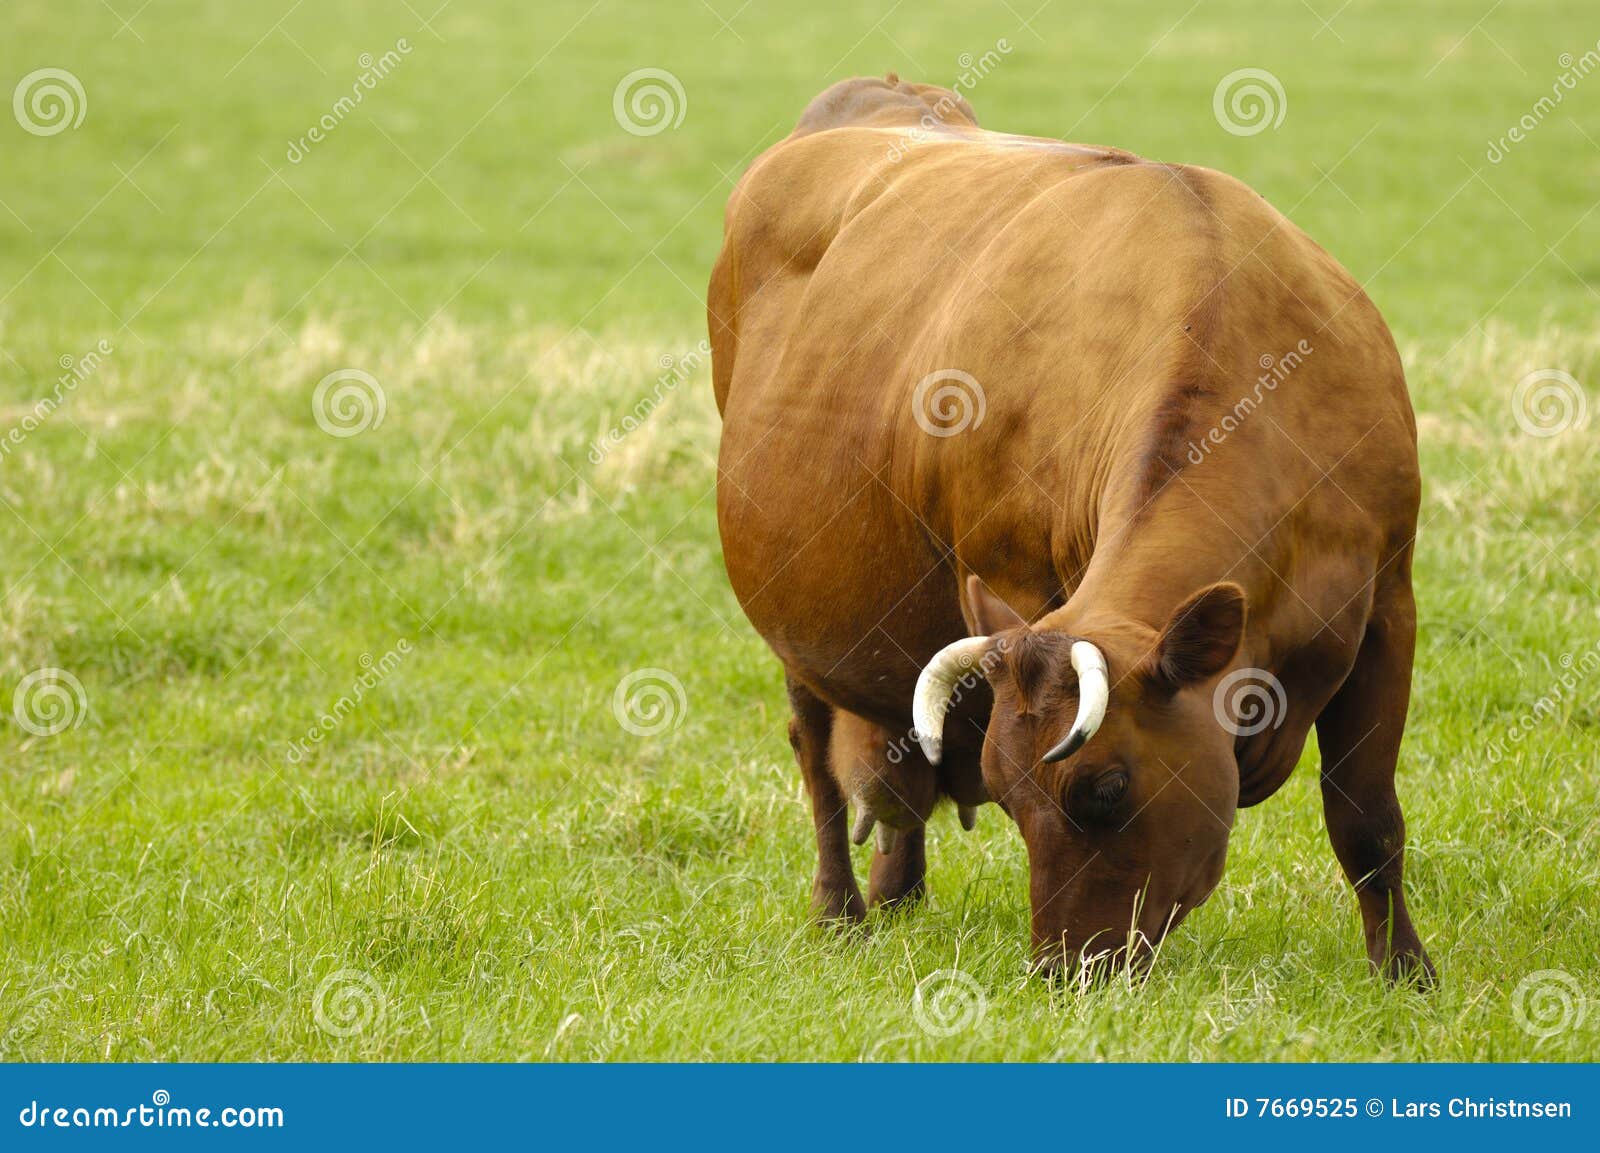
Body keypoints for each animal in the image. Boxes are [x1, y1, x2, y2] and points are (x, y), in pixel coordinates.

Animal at [707, 74, 1433, 983]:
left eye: (1106, 789)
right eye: (1012, 798)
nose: (1061, 970)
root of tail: (879, 95)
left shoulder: (1390, 600)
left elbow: (1366, 817)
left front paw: (1404, 973)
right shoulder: (1017, 584)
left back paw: (896, 890)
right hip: (792, 614)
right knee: (816, 752)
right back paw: (840, 911)